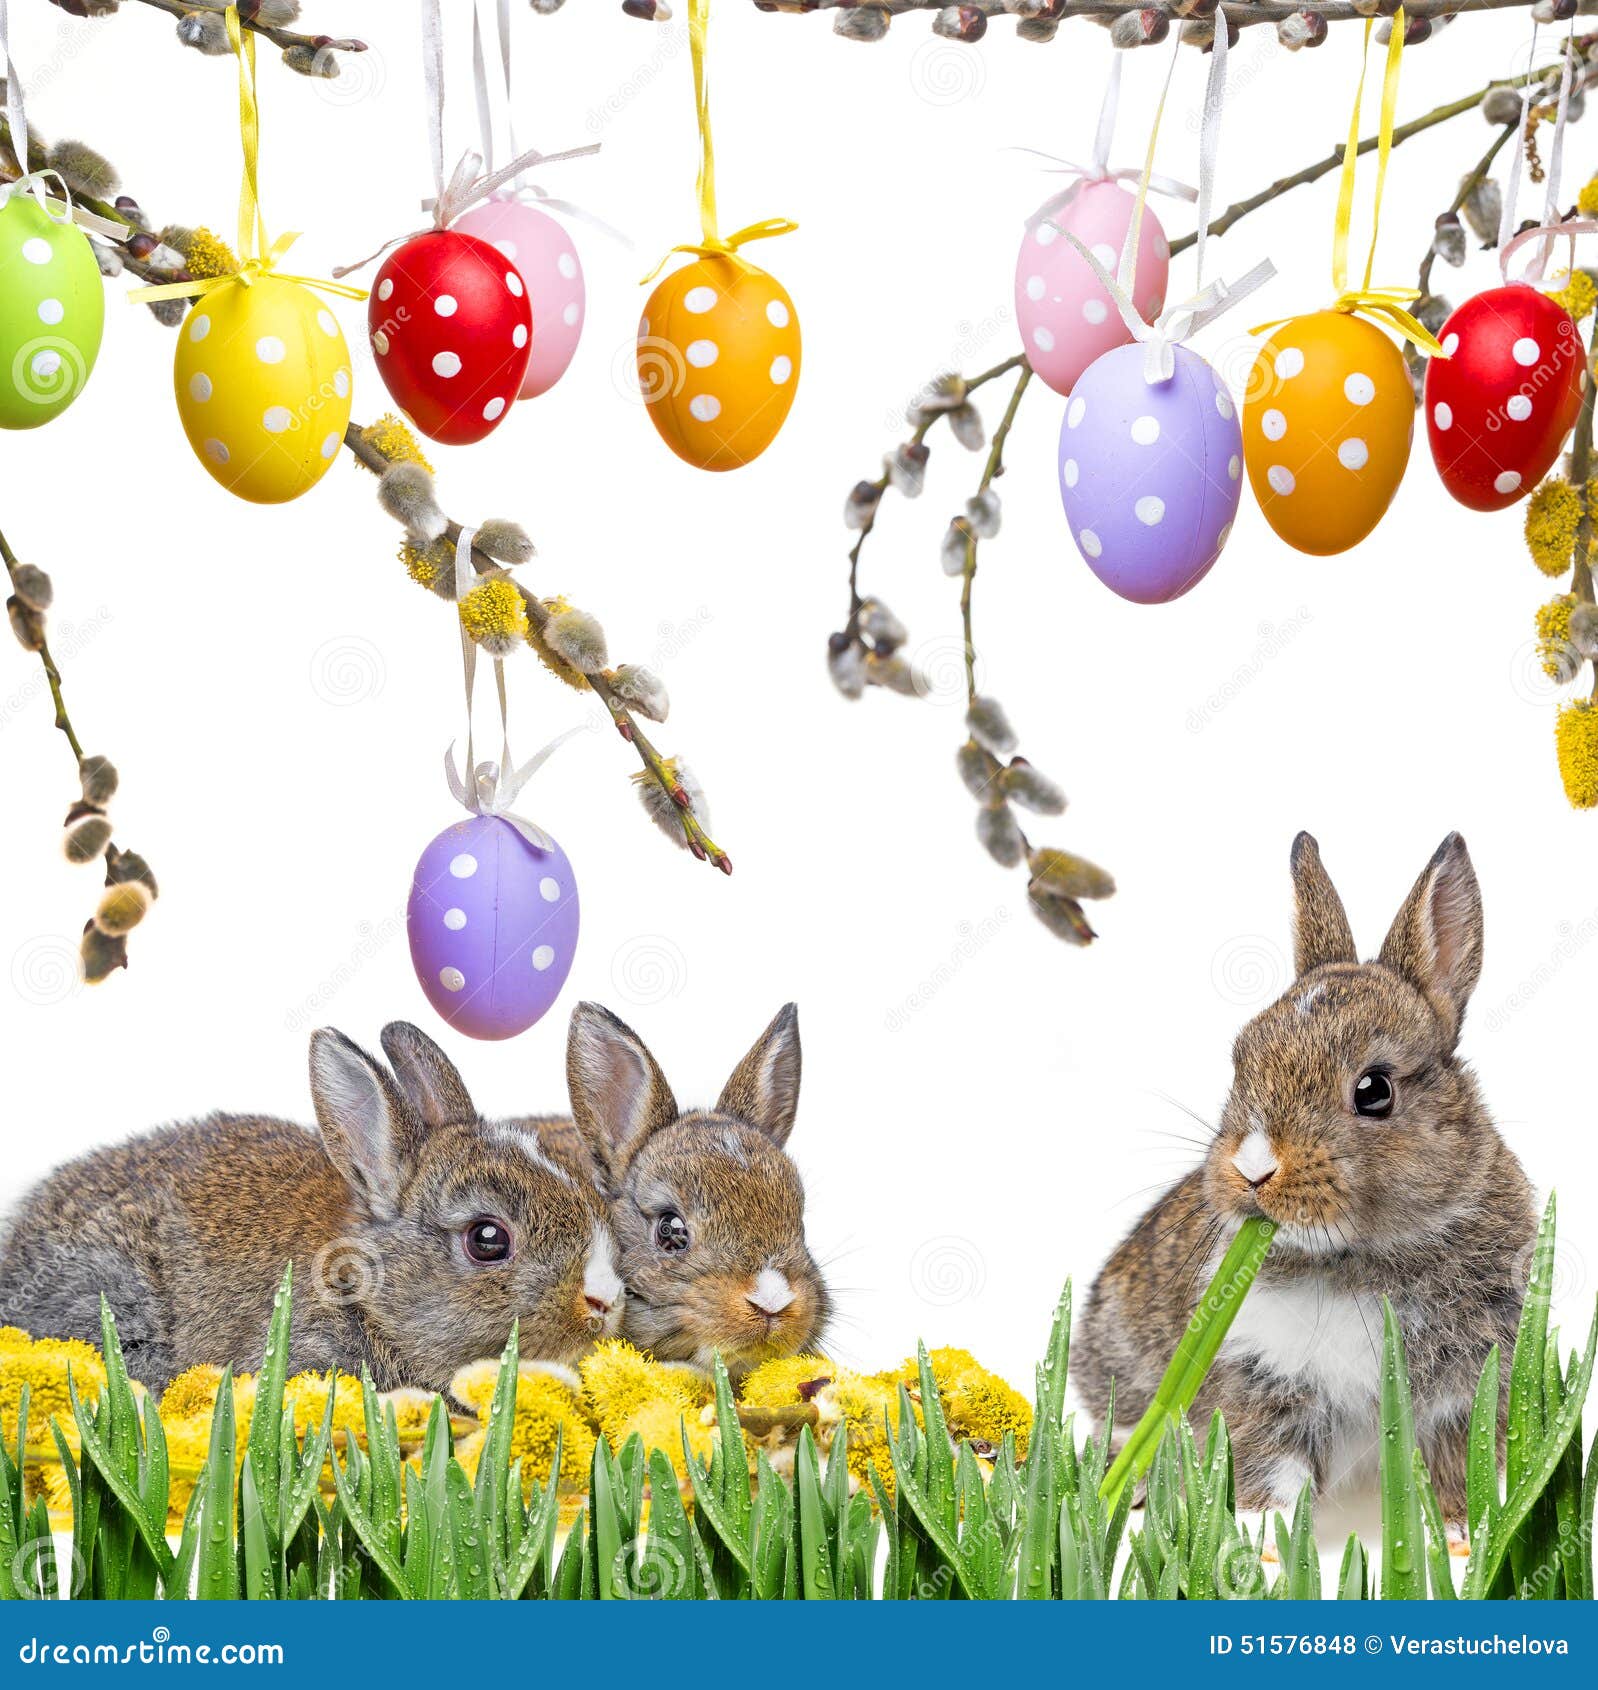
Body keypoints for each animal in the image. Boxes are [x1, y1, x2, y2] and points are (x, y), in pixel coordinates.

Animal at [1075, 832, 1536, 1523]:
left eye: (1373, 1090)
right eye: (1242, 1057)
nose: (1253, 1168)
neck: (1361, 1259)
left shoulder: (1466, 1397)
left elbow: (1457, 1477)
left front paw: (1457, 1535)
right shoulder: (1266, 1386)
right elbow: (1274, 1473)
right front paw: (1264, 1539)